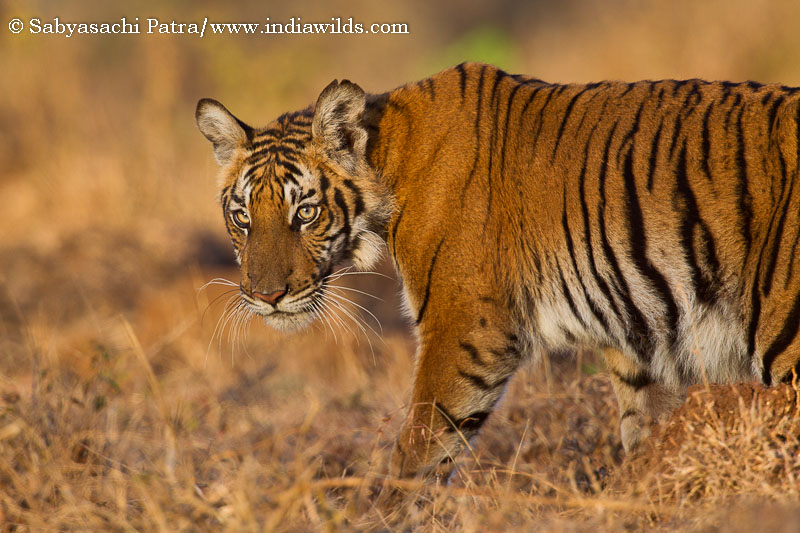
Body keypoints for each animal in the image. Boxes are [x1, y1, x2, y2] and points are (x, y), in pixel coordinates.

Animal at [196, 62, 800, 479]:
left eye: (305, 212)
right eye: (242, 216)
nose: (265, 296)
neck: (387, 162)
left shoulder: (466, 328)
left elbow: (419, 447)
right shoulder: (642, 343)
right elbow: (649, 438)